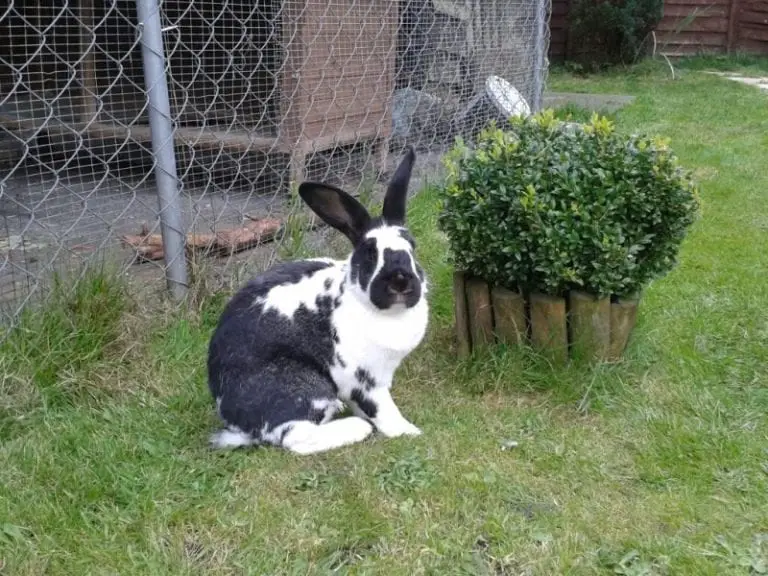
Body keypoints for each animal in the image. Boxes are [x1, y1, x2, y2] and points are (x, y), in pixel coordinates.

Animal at [207, 146, 429, 455]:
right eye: (370, 254)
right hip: (305, 387)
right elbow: (383, 410)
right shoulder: (364, 380)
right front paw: (409, 431)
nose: (400, 280)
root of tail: (235, 421)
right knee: (294, 437)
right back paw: (356, 428)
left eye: (412, 246)